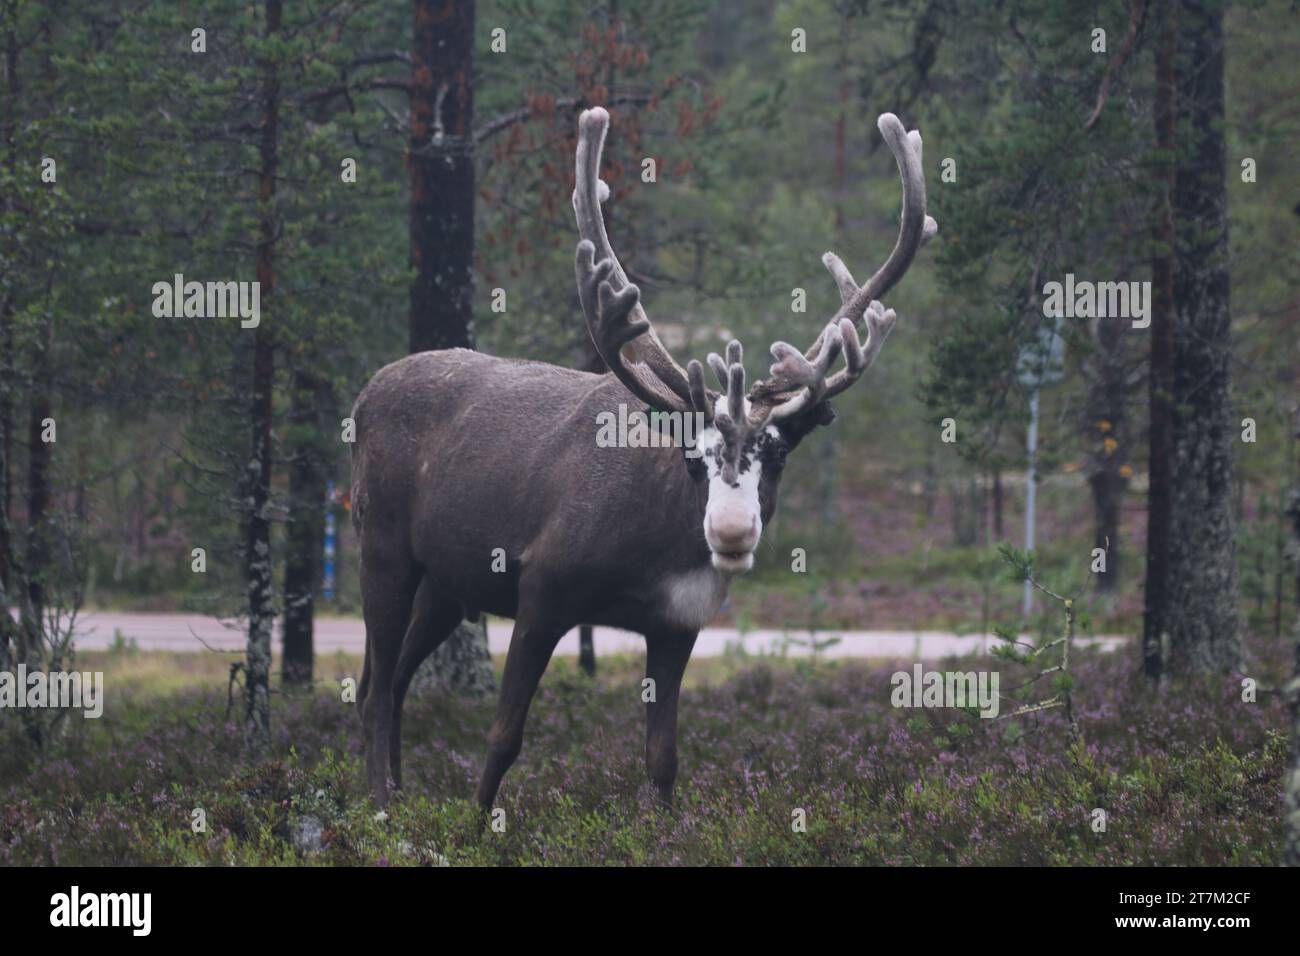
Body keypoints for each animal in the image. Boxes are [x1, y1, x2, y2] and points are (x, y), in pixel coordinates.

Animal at [349, 105, 936, 811]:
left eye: (777, 454)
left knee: (393, 682)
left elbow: (662, 759)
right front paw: (475, 820)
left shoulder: (677, 626)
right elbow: (503, 736)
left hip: (444, 583)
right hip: (383, 548)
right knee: (375, 689)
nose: (730, 531)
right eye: (691, 458)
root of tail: (364, 395)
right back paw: (382, 806)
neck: (657, 548)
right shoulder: (541, 590)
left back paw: (397, 791)